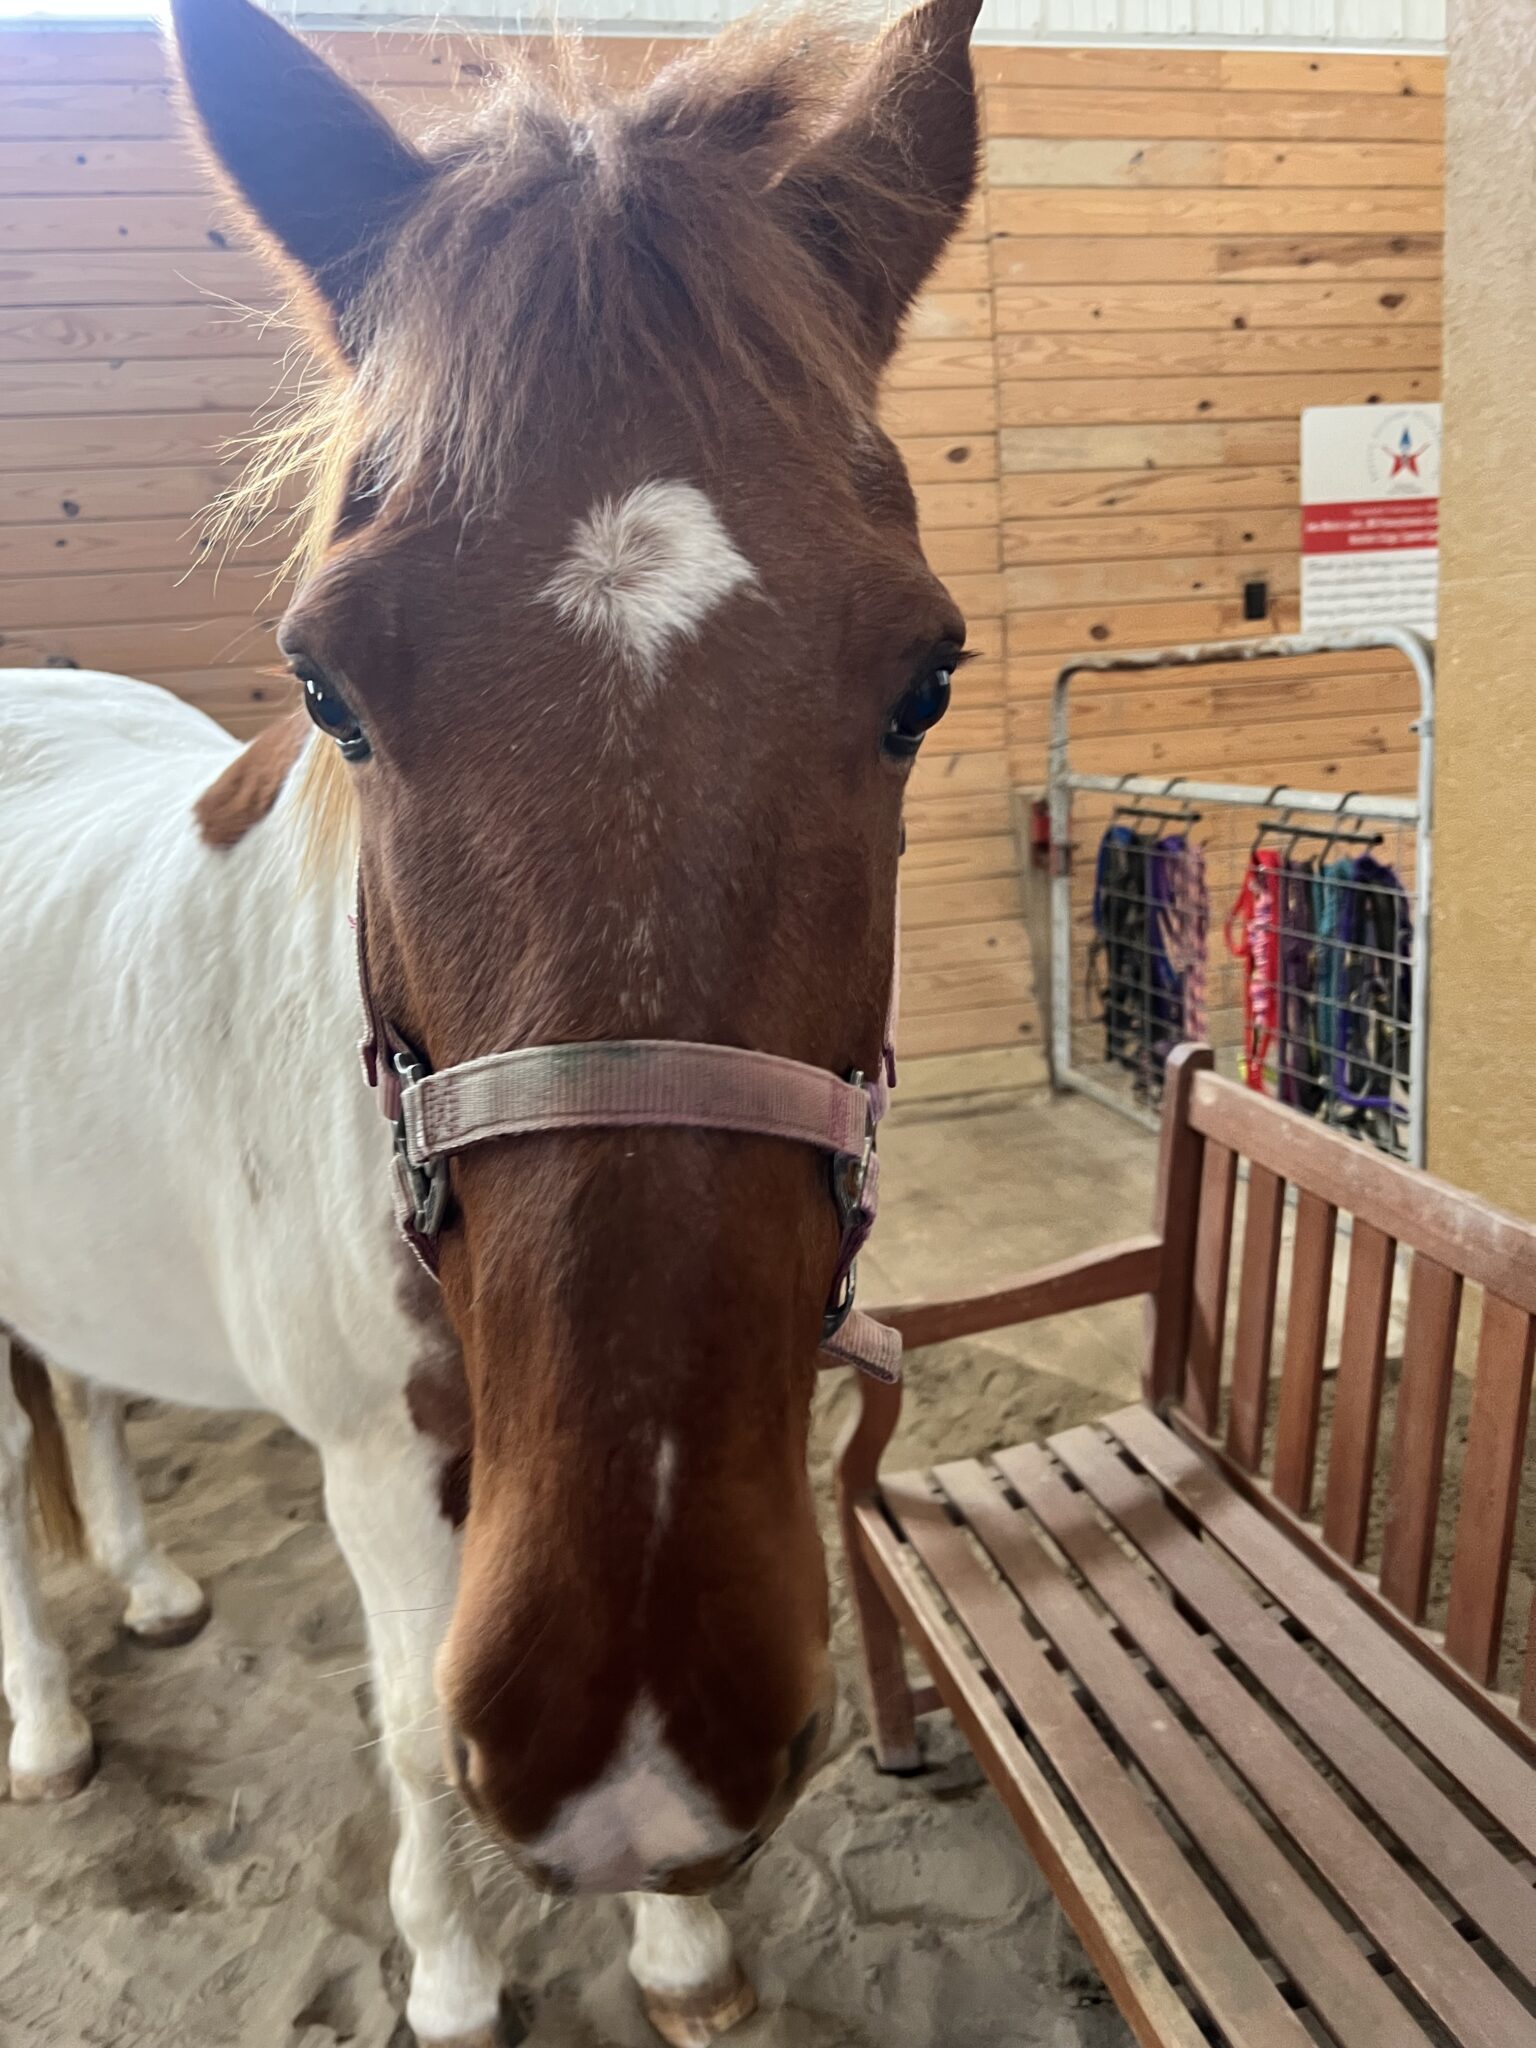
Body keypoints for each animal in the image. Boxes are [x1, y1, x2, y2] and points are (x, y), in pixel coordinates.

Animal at [0, 0, 981, 2039]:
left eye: (924, 682)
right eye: (327, 687)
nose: (633, 1727)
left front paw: (680, 1950)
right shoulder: (380, 1465)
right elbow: (397, 1726)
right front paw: (451, 1974)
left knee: (94, 1406)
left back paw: (144, 1587)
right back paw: (47, 1728)